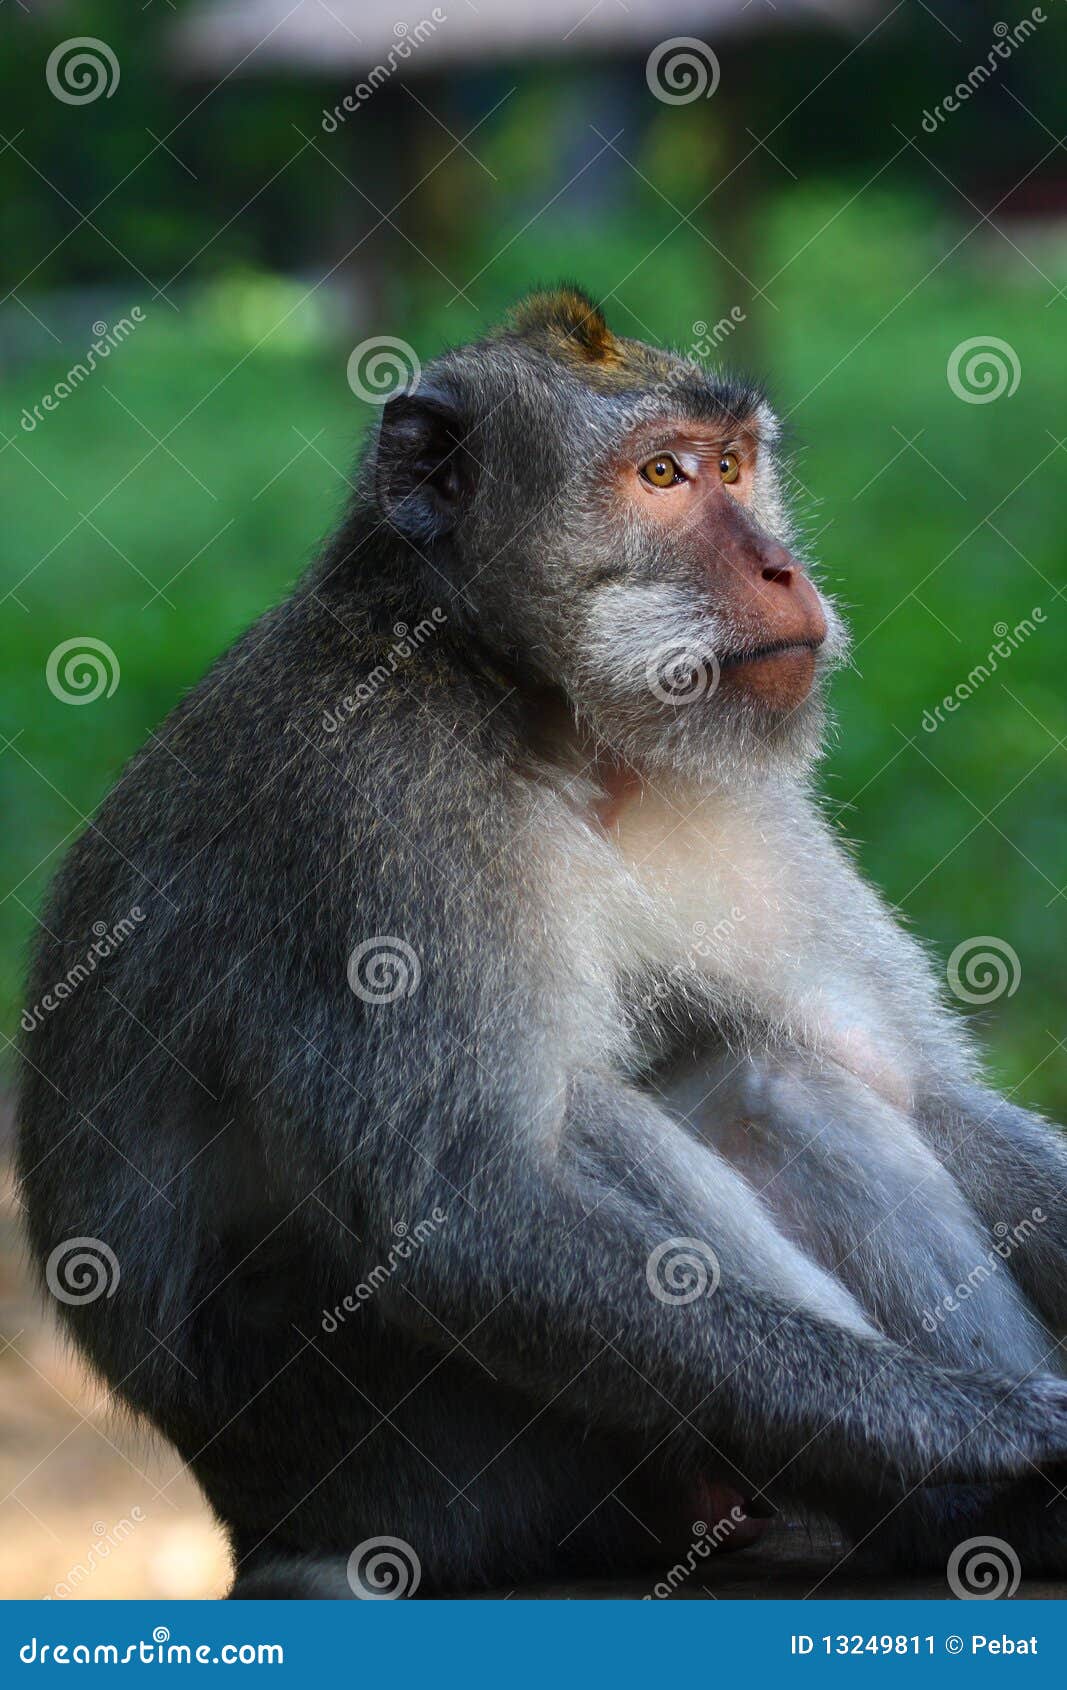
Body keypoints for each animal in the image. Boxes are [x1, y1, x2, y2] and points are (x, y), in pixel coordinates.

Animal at [16, 285, 1067, 1600]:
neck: (529, 706)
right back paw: (959, 1510)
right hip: (427, 1455)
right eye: (660, 476)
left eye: (732, 464)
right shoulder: (375, 812)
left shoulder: (734, 788)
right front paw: (1004, 1432)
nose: (779, 567)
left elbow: (911, 1090)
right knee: (587, 1123)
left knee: (771, 1078)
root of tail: (260, 1518)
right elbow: (459, 1222)